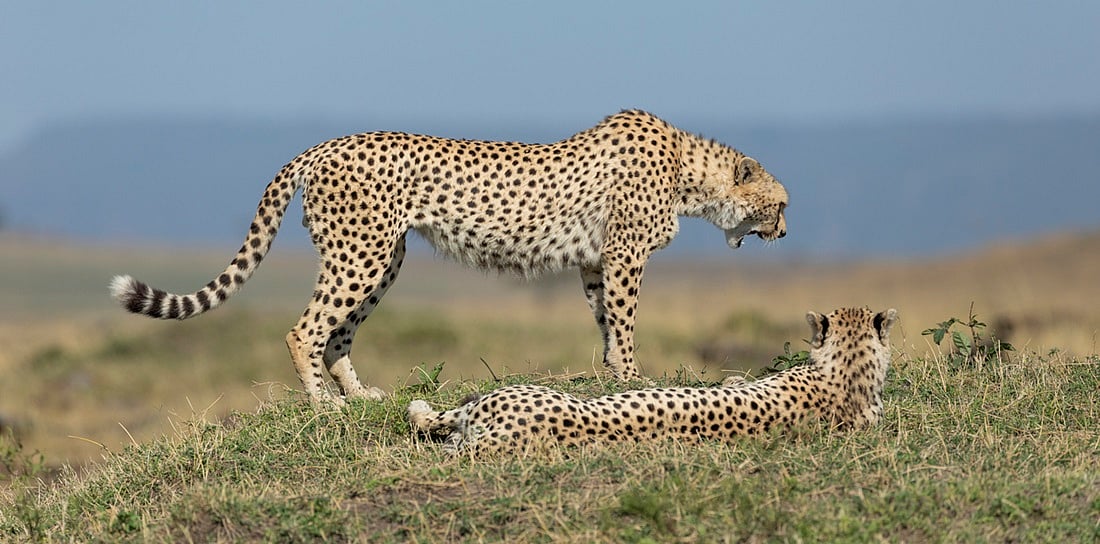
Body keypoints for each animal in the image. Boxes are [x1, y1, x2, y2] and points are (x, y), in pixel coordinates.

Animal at [109, 110, 789, 404]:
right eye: (781, 204)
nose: (783, 233)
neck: (690, 172)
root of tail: (325, 143)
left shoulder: (596, 263)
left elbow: (603, 320)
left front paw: (608, 373)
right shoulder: (624, 257)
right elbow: (624, 323)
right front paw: (632, 378)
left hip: (384, 257)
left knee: (338, 332)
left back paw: (362, 396)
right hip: (361, 253)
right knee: (306, 329)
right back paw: (324, 405)